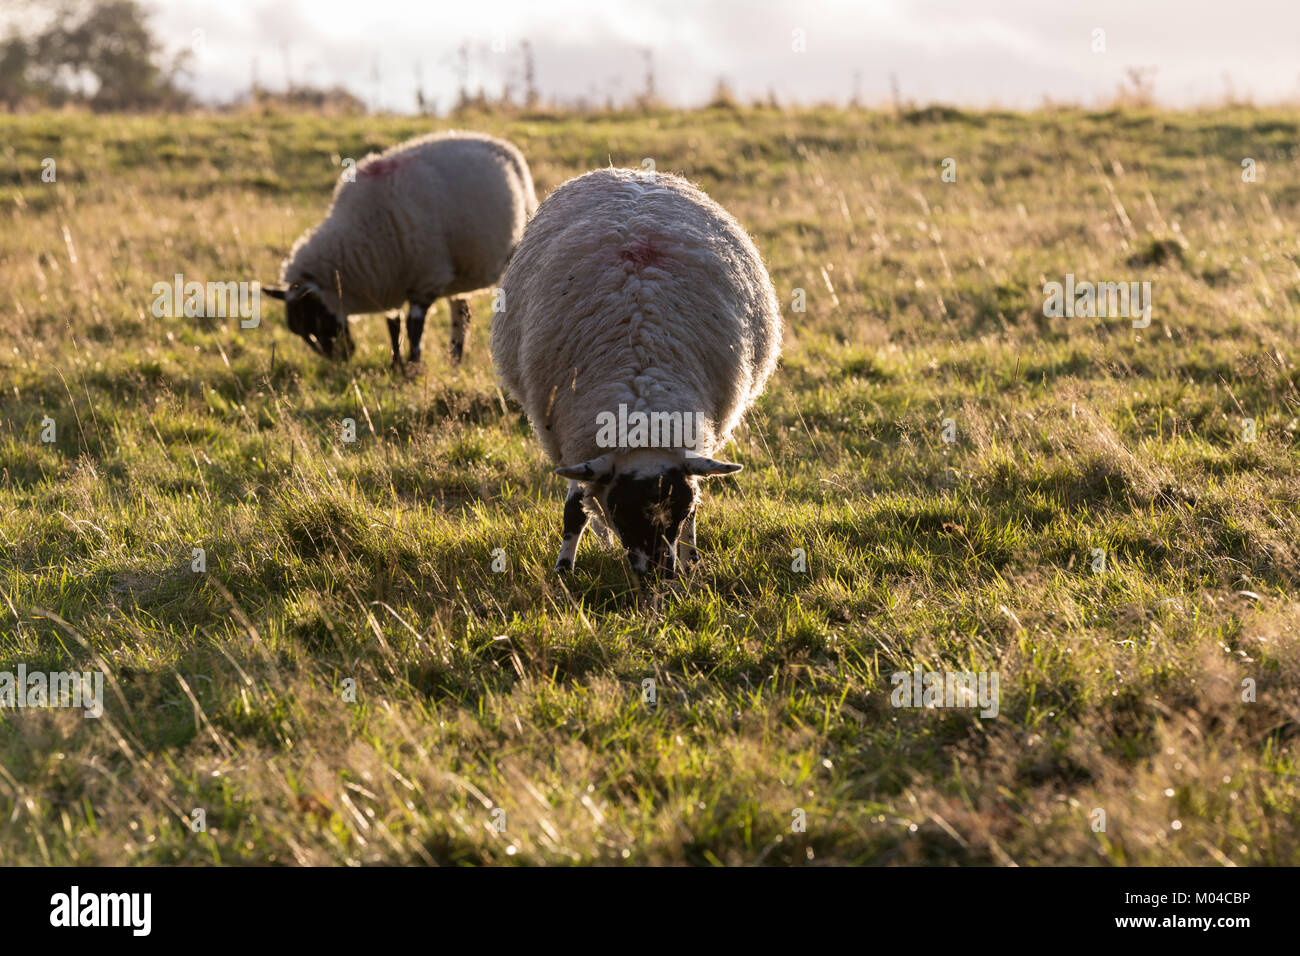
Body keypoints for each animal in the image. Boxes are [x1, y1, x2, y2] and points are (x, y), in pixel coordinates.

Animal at [264, 131, 536, 366]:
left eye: (317, 318)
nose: (341, 359)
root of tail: (499, 143)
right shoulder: (389, 280)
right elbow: (393, 326)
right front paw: (396, 364)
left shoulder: (425, 279)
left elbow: (413, 329)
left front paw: (414, 367)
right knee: (462, 314)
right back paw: (454, 360)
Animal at [492, 168, 781, 578]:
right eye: (620, 509)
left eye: (680, 509)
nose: (659, 574)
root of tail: (636, 172)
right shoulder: (573, 437)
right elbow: (574, 512)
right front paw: (564, 570)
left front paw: (692, 560)